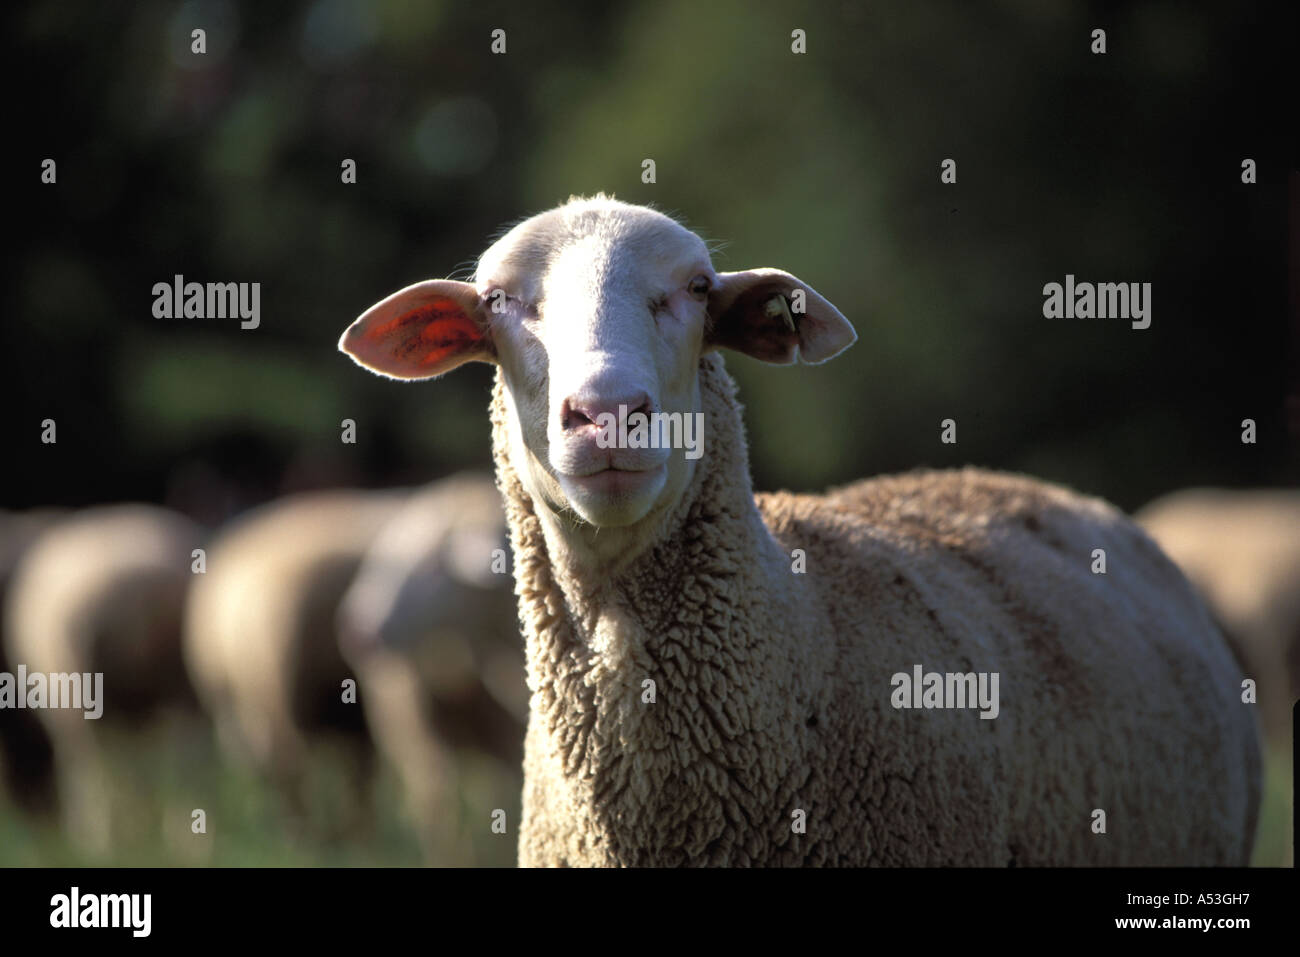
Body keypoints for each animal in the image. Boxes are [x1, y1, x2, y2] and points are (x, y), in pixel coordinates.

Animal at [3, 505, 201, 852]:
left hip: (83, 690)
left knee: (94, 771)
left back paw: (100, 842)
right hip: (177, 690)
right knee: (183, 767)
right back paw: (184, 841)